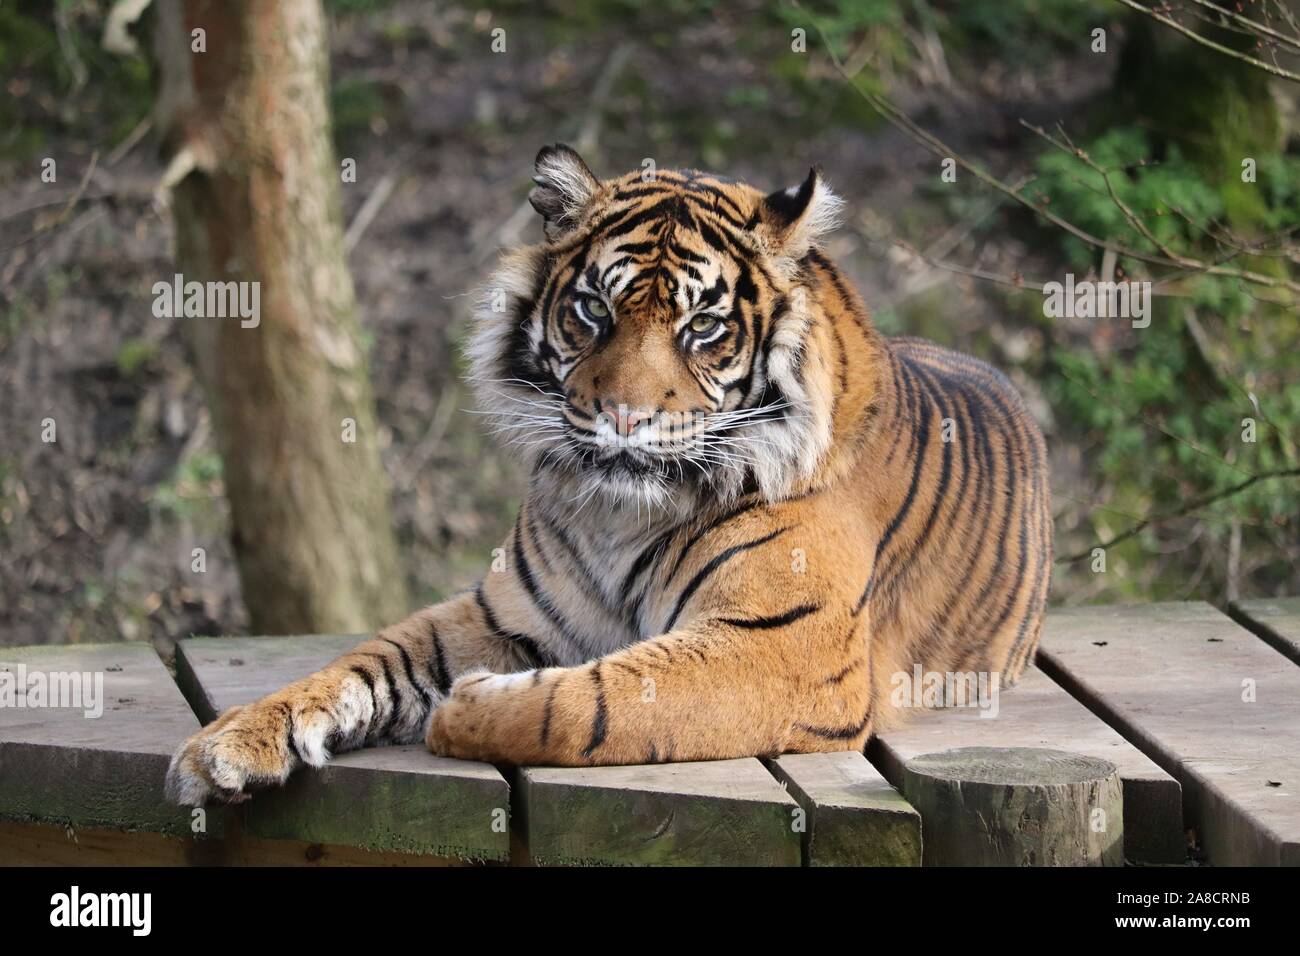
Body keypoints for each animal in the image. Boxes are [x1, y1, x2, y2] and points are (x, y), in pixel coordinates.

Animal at [165, 144, 1052, 806]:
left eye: (704, 327)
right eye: (593, 309)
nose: (625, 415)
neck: (623, 515)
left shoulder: (778, 648)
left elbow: (585, 702)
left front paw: (467, 706)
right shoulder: (506, 609)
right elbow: (364, 662)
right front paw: (228, 742)